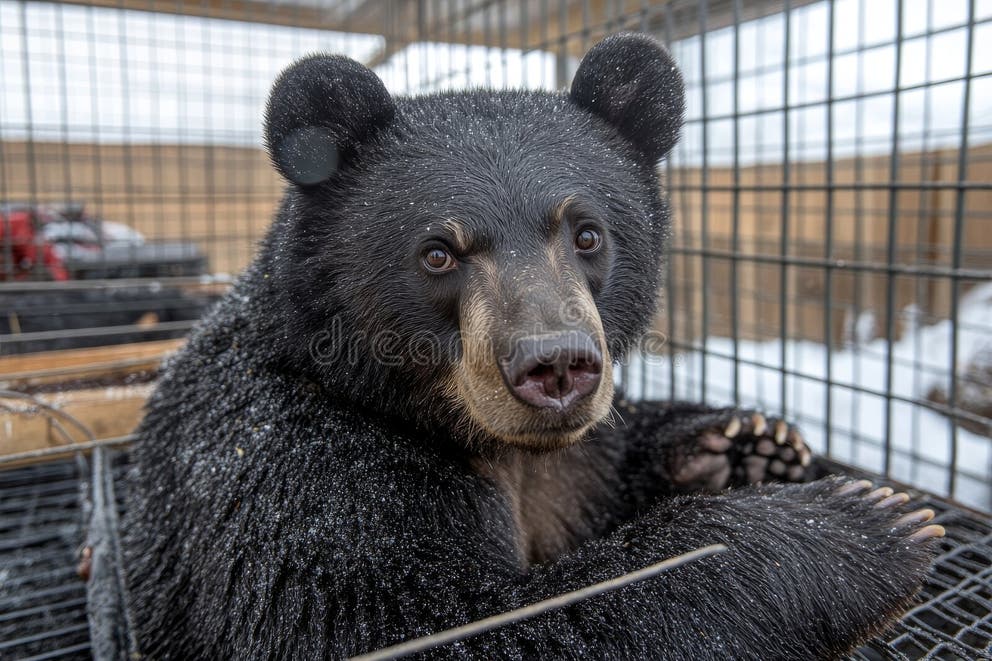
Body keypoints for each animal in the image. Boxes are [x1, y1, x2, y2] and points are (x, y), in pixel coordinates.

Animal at [122, 34, 943, 659]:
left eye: (587, 234)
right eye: (439, 253)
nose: (556, 366)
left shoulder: (579, 458)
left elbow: (614, 454)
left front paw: (748, 444)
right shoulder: (293, 461)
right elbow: (408, 626)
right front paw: (861, 526)